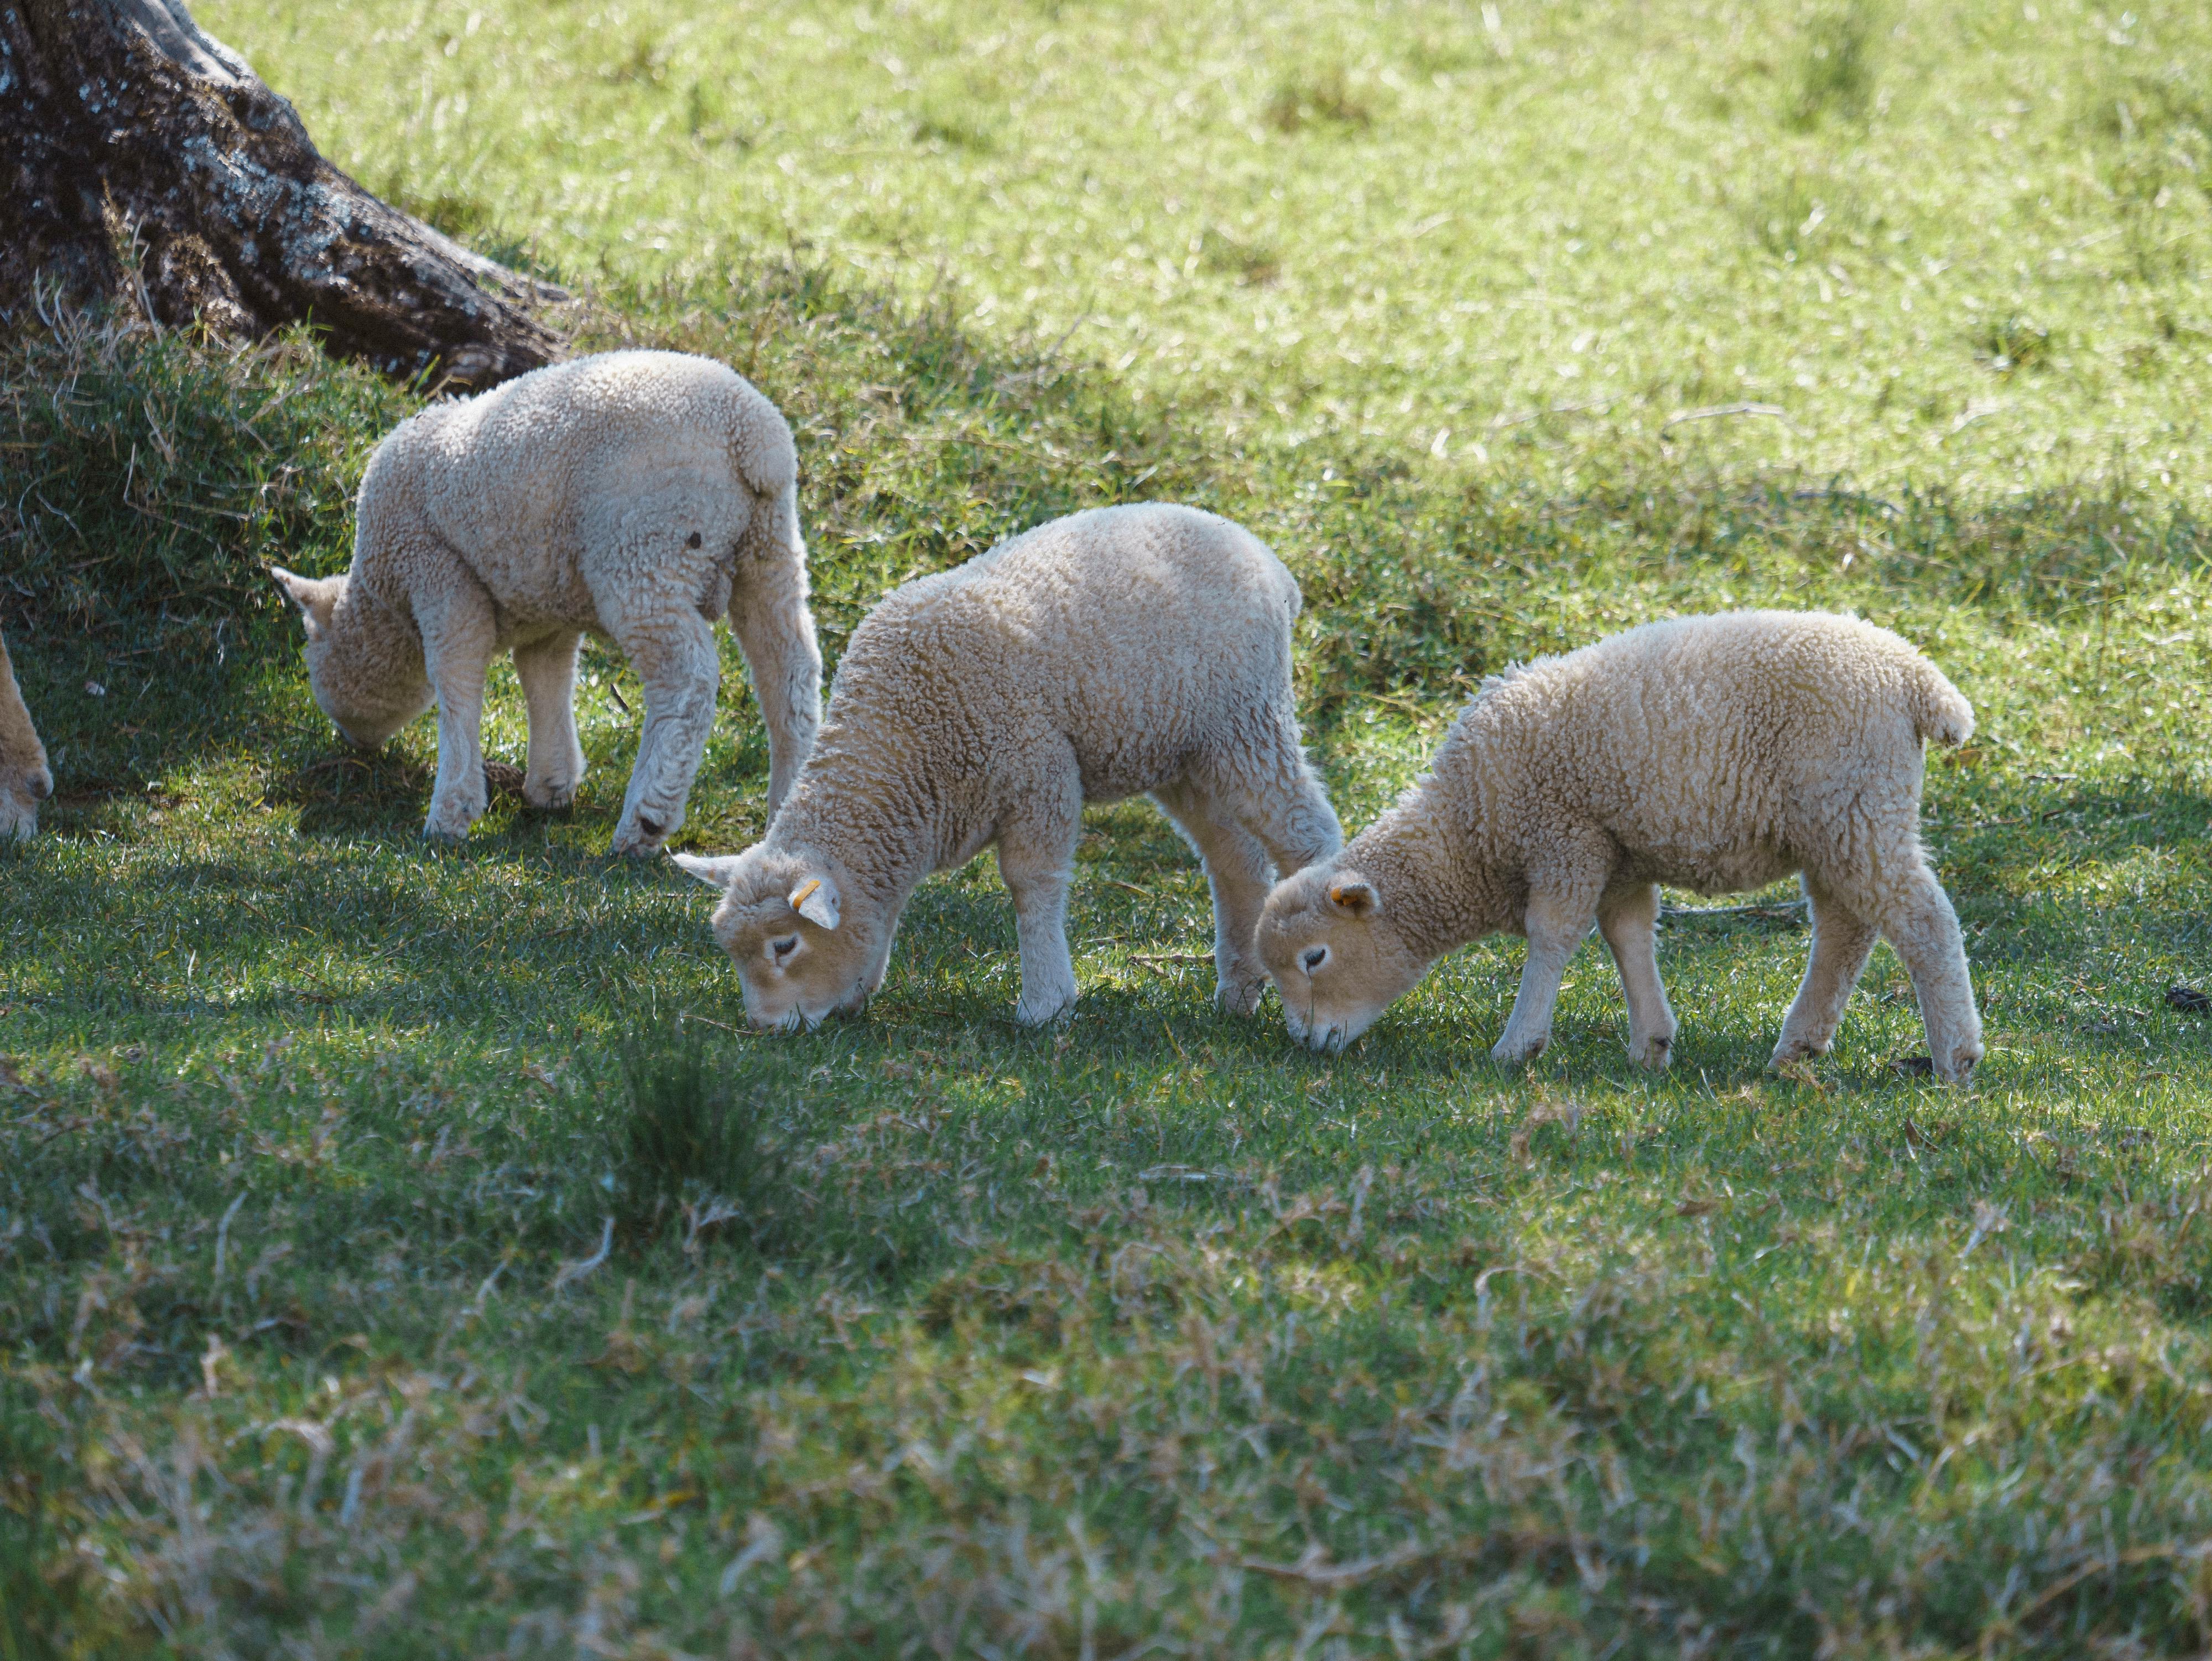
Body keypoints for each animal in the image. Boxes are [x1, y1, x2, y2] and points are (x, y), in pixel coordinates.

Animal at [272, 350, 822, 855]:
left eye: (312, 661)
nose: (352, 744)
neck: (382, 603)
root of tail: (754, 438)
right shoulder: (547, 608)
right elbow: (545, 678)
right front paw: (550, 787)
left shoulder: (439, 574)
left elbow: (456, 680)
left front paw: (450, 812)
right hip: (769, 547)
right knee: (789, 673)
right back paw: (786, 817)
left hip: (644, 551)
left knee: (687, 685)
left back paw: (644, 824)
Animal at [673, 502, 1345, 1029]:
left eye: (784, 944)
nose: (764, 1028)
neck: (904, 744)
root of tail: (1268, 561)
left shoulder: (1036, 772)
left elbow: (1031, 884)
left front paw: (1045, 1002)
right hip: (1187, 754)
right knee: (1236, 864)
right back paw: (1237, 994)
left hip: (1247, 721)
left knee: (1306, 834)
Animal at [1256, 610, 1985, 1081]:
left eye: (1315, 957)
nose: (1305, 1043)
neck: (1470, 829)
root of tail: (1914, 675)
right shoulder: (1618, 854)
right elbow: (1628, 936)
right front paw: (1652, 1044)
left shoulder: (1564, 835)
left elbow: (1551, 934)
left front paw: (1519, 1044)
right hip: (1838, 818)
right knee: (1846, 927)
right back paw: (1797, 1049)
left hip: (1853, 802)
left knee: (1922, 920)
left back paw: (1956, 1057)